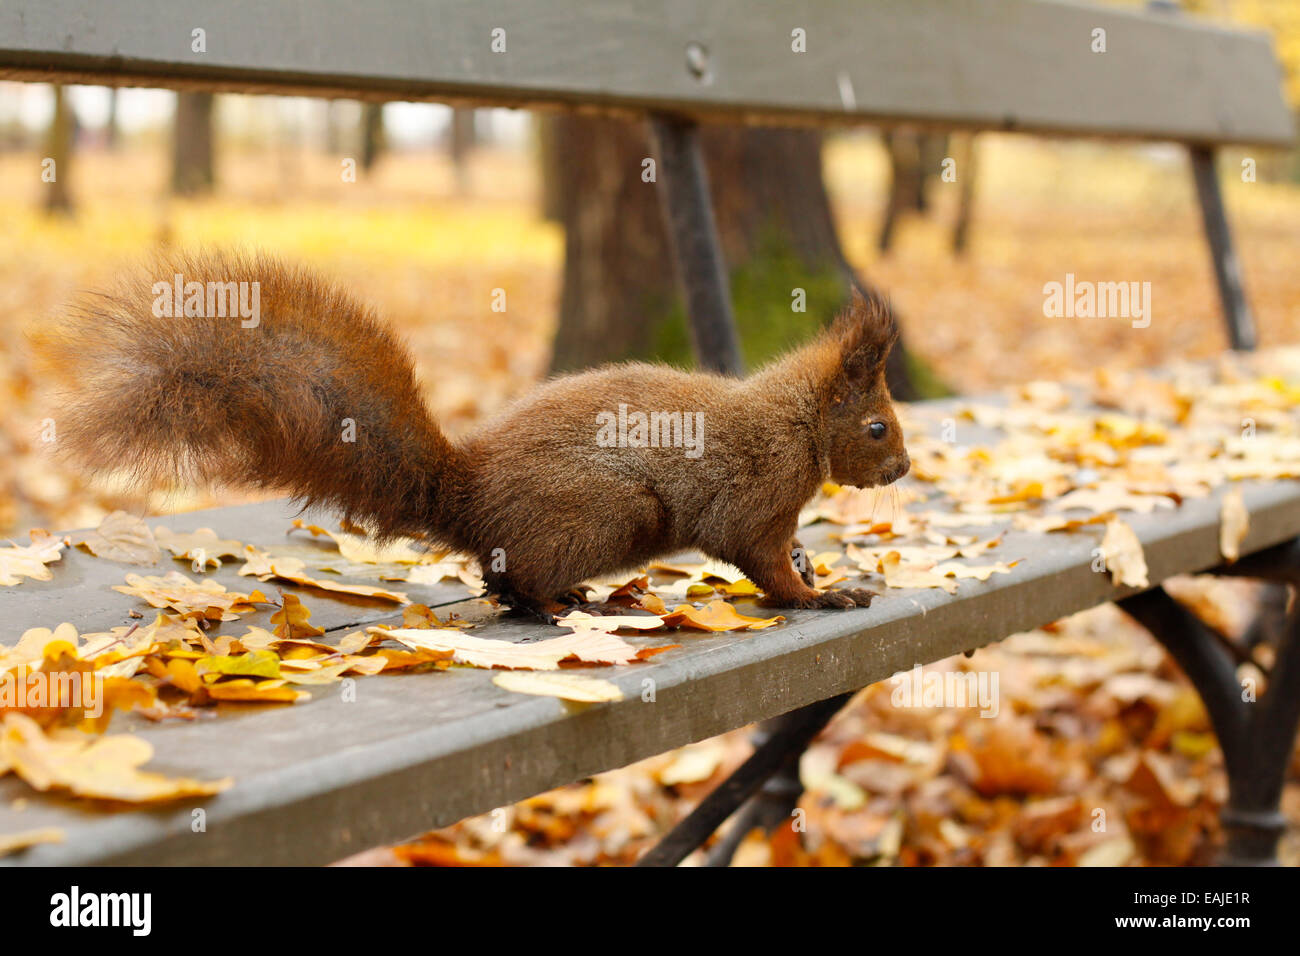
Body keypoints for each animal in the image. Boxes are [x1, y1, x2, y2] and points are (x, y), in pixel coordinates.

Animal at [42, 251, 910, 618]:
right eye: (876, 426)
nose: (902, 467)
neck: (797, 421)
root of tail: (468, 495)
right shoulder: (755, 495)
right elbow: (759, 559)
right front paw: (823, 593)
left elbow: (782, 550)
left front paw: (816, 564)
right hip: (608, 513)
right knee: (512, 578)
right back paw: (553, 603)